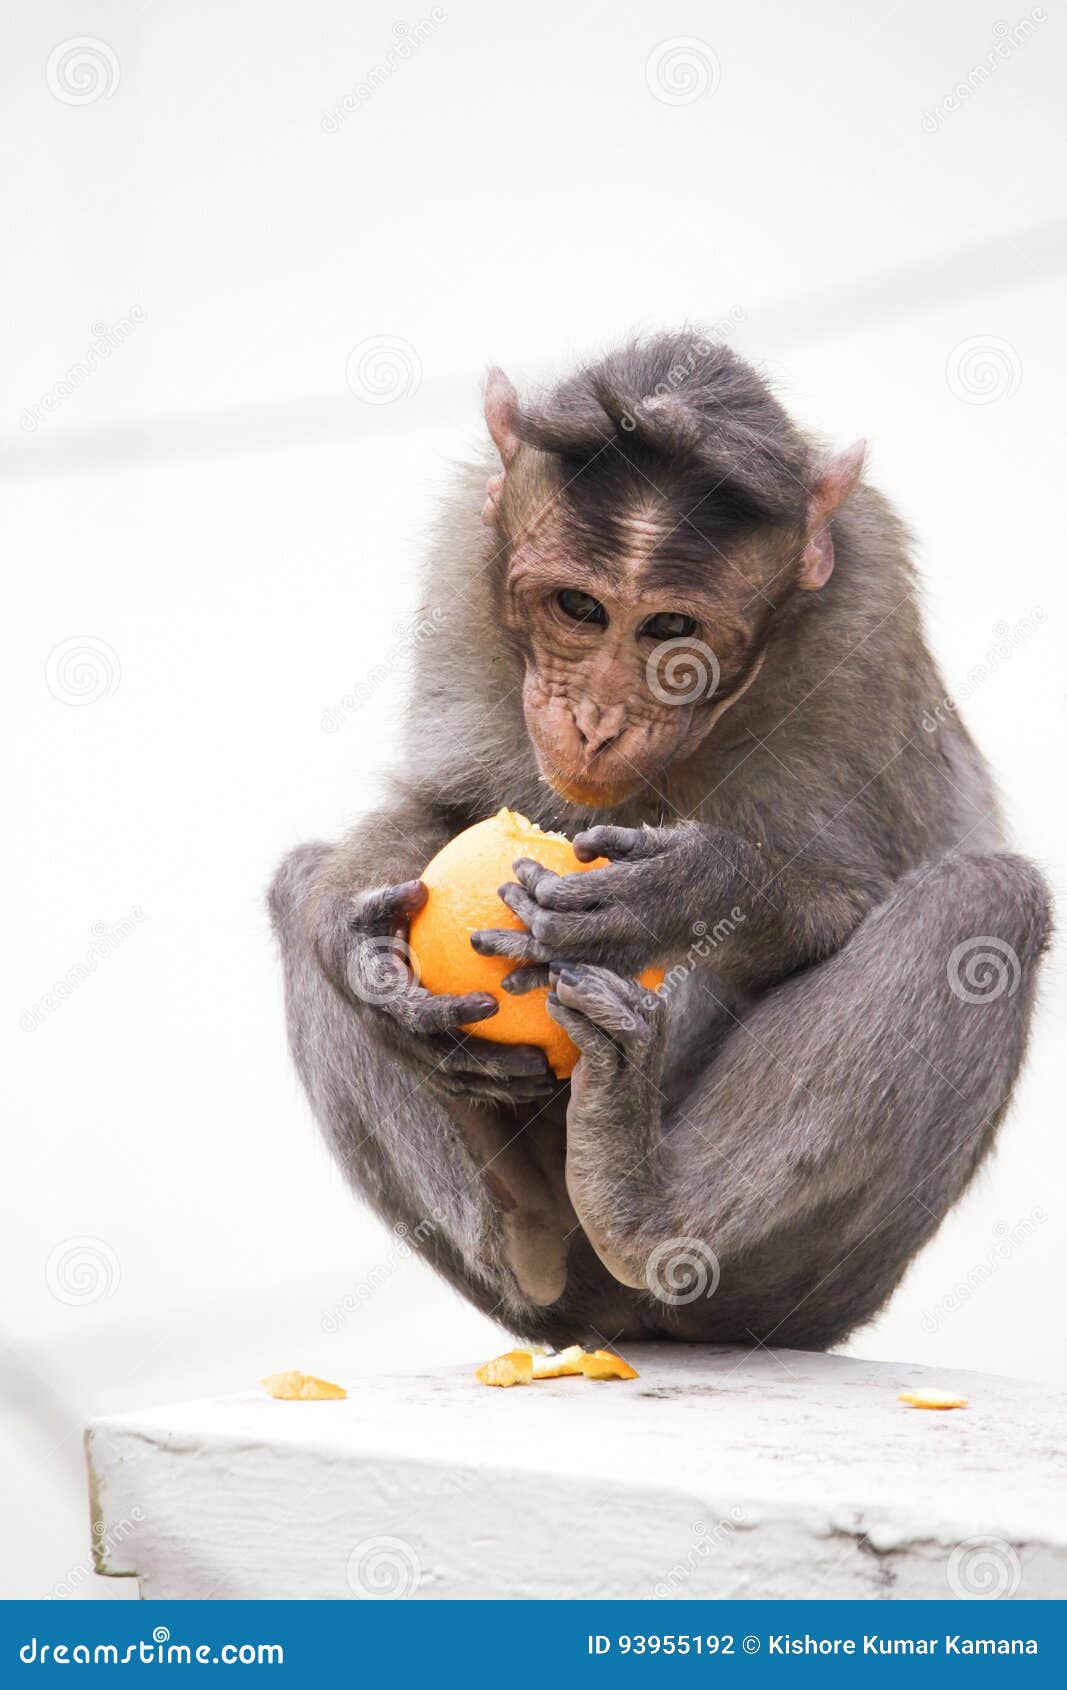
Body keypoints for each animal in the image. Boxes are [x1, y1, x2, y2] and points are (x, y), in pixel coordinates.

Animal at [269, 332, 1051, 1352]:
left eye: (673, 628)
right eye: (577, 608)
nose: (596, 722)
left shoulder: (863, 625)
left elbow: (859, 894)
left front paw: (688, 892)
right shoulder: (460, 569)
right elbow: (443, 808)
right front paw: (371, 964)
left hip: (802, 1293)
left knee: (981, 906)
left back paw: (641, 1208)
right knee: (297, 884)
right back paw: (522, 1209)